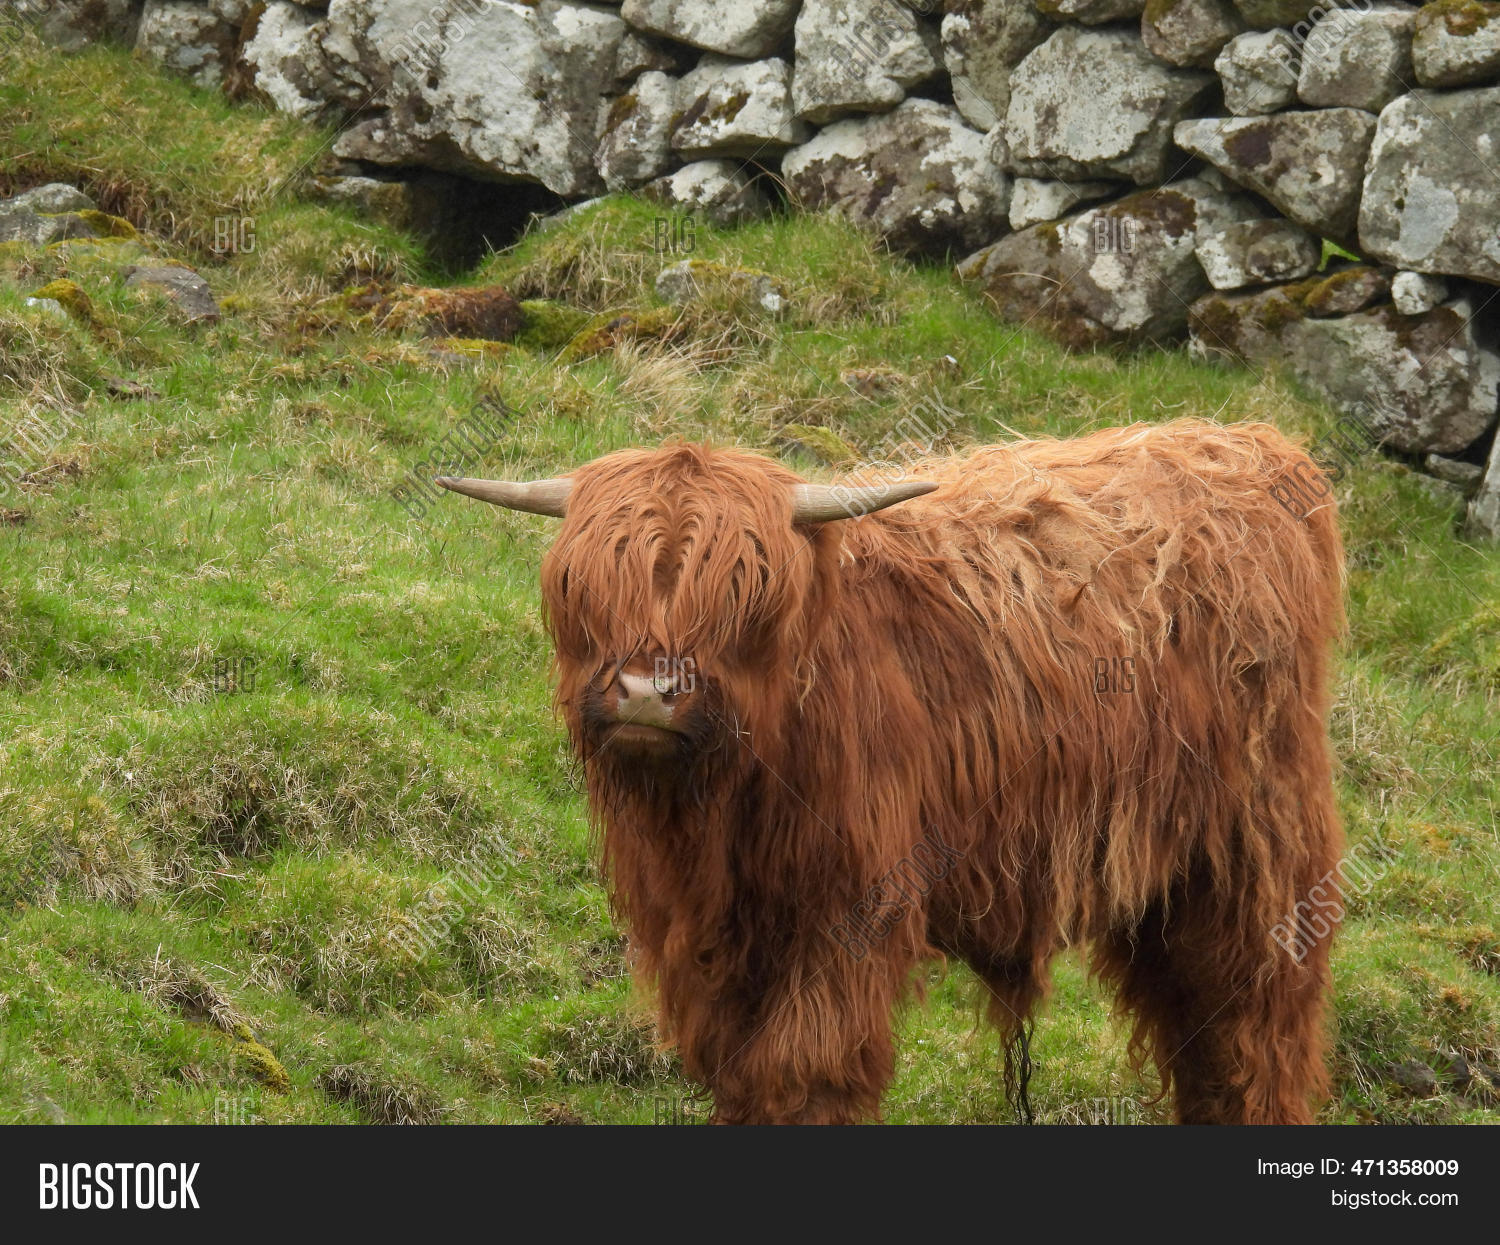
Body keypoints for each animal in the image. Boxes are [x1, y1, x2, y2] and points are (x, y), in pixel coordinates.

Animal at [438, 417, 1345, 1124]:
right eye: (581, 583)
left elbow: (806, 1071)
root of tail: (1251, 446)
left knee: (1253, 1023)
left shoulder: (848, 913)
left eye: (744, 594)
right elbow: (738, 1068)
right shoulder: (711, 939)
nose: (644, 692)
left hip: (1254, 857)